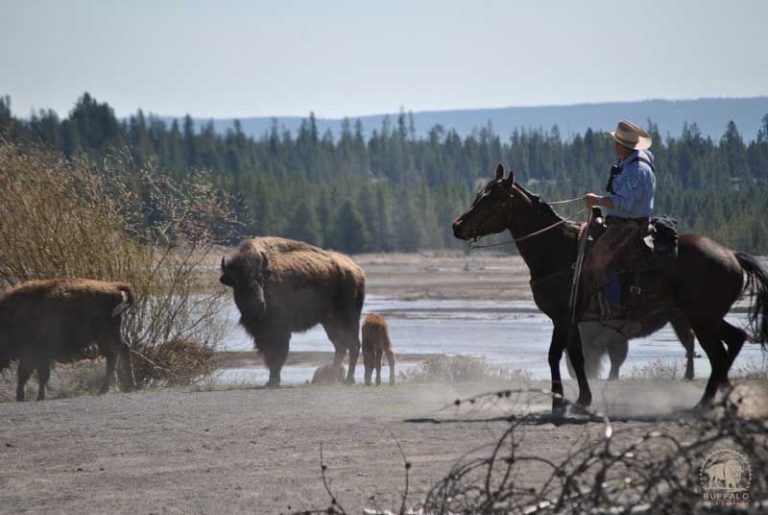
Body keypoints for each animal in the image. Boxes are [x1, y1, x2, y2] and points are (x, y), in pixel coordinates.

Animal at [0, 279, 136, 401]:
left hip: (106, 335)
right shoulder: (36, 355)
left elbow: (30, 374)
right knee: (115, 354)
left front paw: (30, 397)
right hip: (104, 337)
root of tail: (114, 287)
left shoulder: (33, 353)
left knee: (119, 351)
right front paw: (35, 396)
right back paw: (111, 389)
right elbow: (35, 374)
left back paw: (124, 387)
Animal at [220, 237, 365, 386]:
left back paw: (349, 379)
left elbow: (278, 354)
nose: (257, 304)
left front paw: (273, 381)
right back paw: (332, 378)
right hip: (330, 323)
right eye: (237, 282)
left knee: (353, 345)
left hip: (348, 319)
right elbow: (269, 354)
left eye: (260, 279)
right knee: (340, 347)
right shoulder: (261, 333)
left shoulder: (279, 331)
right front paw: (271, 380)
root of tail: (356, 270)